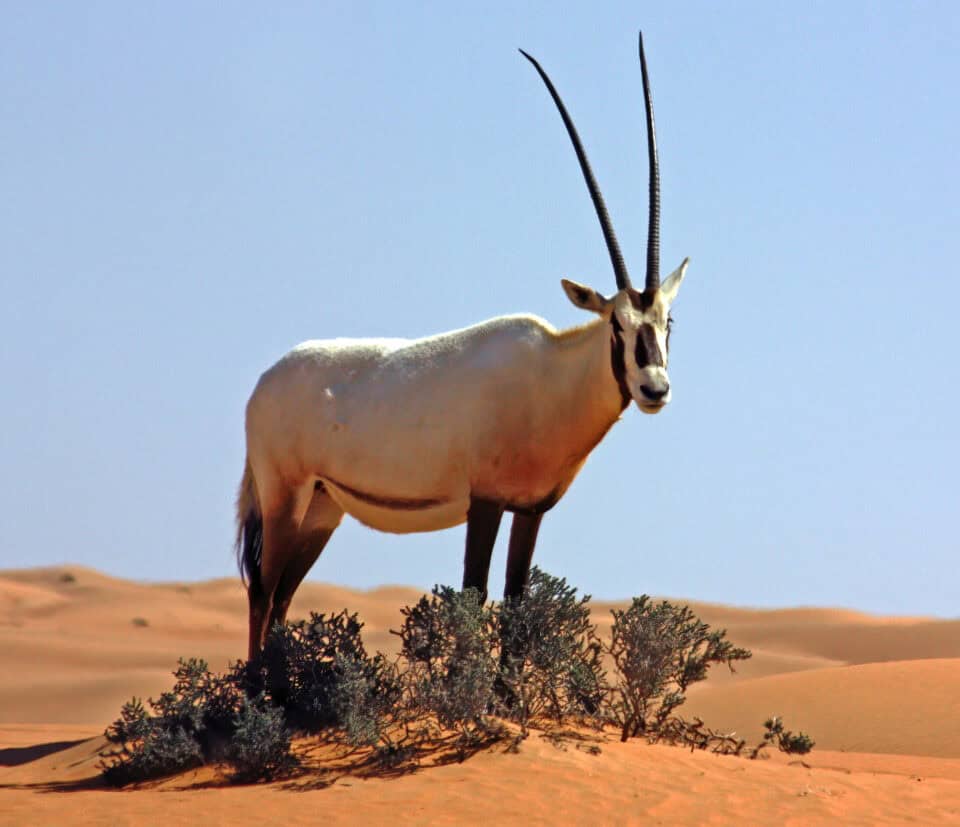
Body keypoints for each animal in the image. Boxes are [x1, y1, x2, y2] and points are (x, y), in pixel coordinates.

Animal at [236, 33, 689, 660]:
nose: (654, 389)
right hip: (286, 496)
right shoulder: (485, 502)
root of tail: (262, 382)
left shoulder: (530, 509)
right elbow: (474, 599)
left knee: (281, 596)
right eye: (617, 325)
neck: (551, 378)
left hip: (323, 508)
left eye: (669, 321)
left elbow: (518, 605)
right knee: (263, 590)